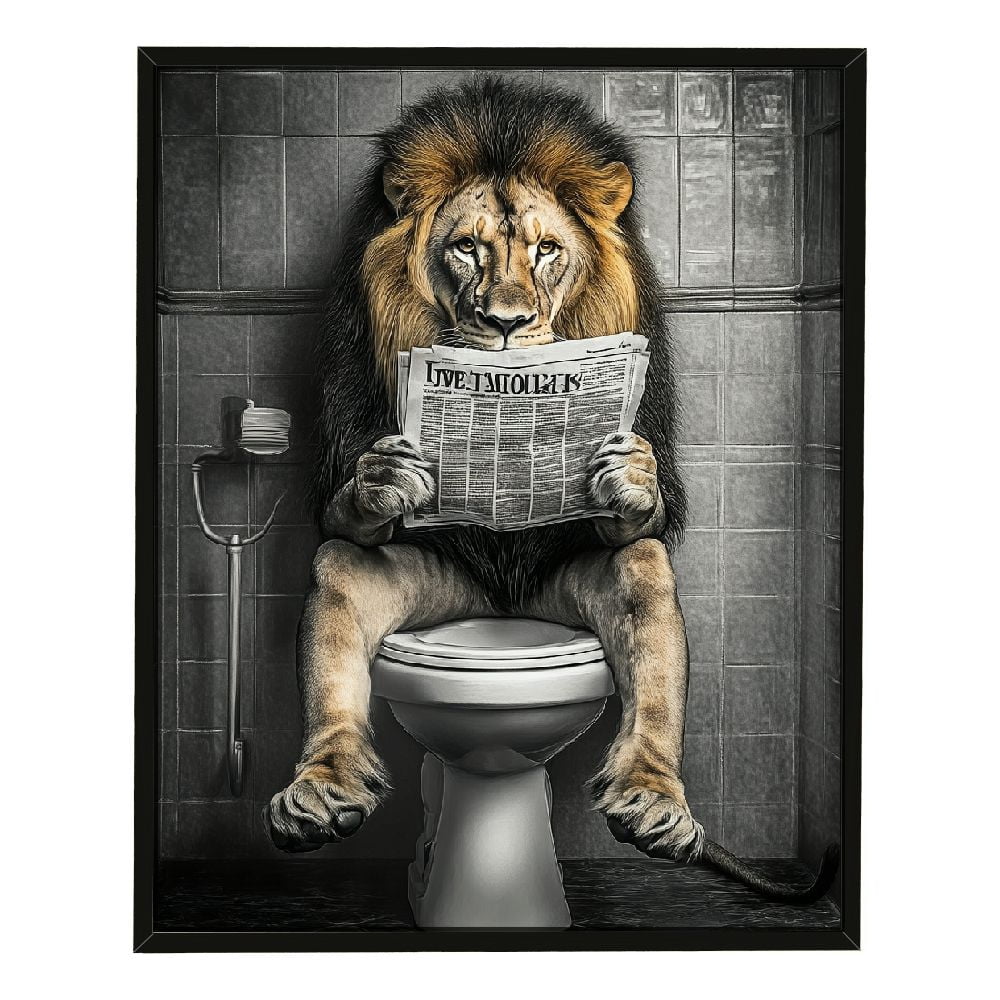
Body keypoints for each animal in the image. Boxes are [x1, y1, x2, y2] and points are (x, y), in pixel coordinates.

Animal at [266, 78, 837, 902]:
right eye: (466, 245)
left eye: (545, 248)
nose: (507, 322)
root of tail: (503, 609)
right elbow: (339, 506)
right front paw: (386, 479)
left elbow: (642, 514)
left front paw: (629, 477)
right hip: (427, 599)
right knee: (342, 569)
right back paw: (320, 794)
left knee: (643, 577)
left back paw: (657, 808)